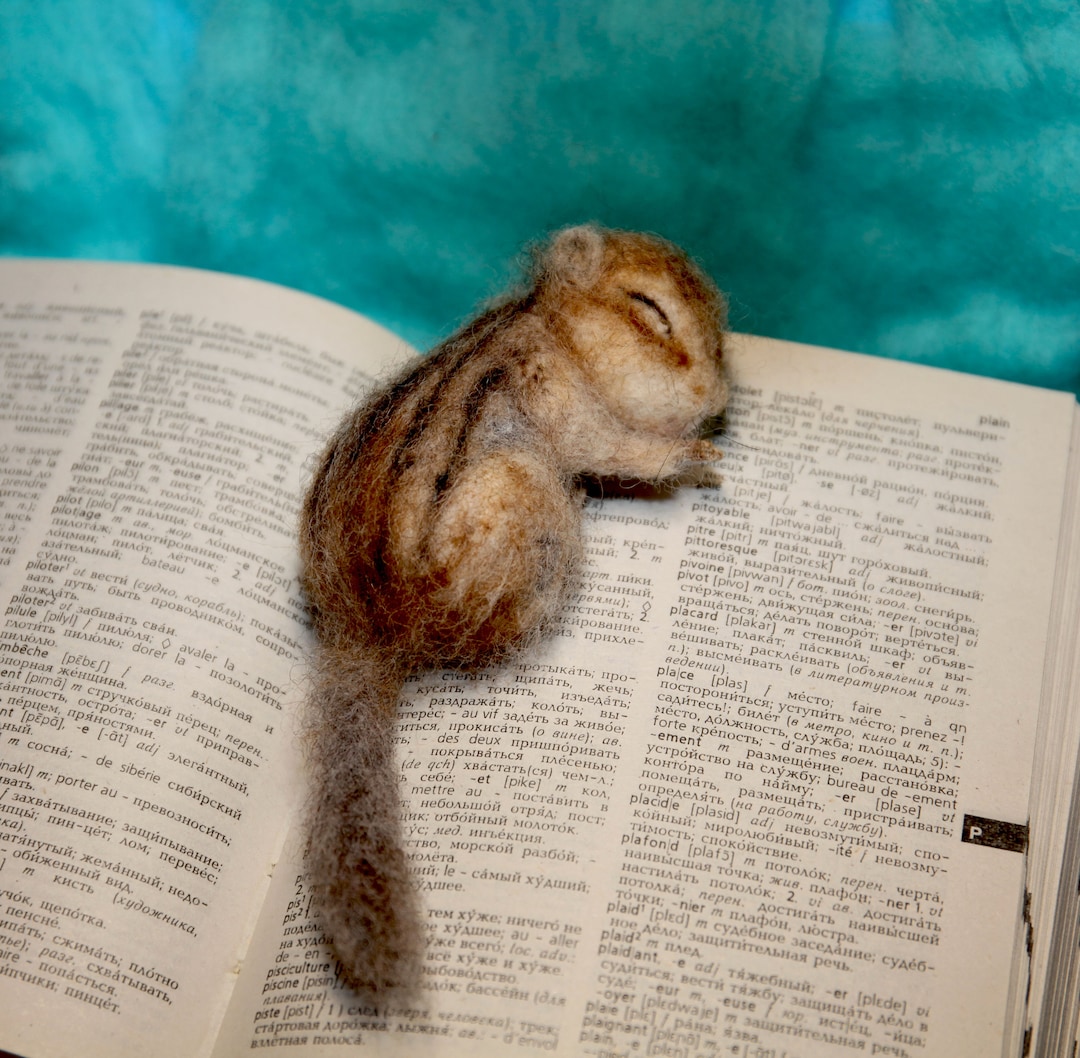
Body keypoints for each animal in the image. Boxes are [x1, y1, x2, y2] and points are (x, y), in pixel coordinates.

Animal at [299, 224, 729, 1000]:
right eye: (648, 310)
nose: (719, 396)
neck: (549, 327)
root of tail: (367, 628)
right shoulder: (557, 393)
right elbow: (619, 448)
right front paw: (690, 455)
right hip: (524, 491)